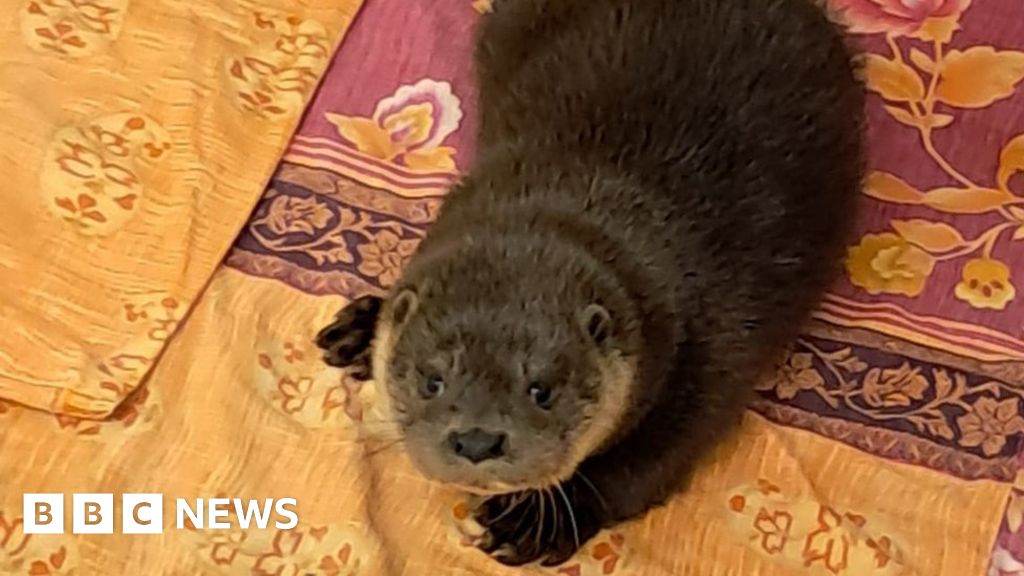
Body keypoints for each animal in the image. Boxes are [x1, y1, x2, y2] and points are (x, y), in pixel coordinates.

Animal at [316, 0, 864, 566]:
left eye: (542, 390)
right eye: (432, 380)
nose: (477, 440)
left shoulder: (712, 352)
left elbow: (650, 463)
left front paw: (533, 520)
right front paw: (365, 327)